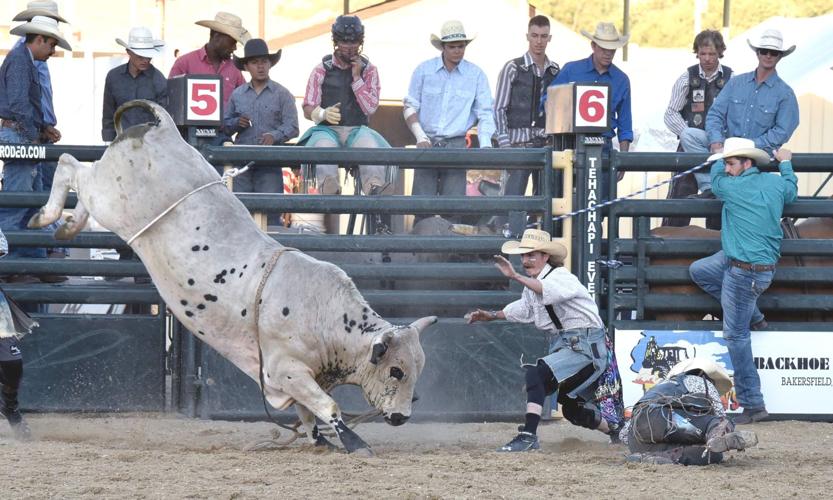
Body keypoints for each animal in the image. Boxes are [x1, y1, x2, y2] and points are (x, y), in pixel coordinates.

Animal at [28, 100, 436, 455]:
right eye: (396, 370)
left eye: (418, 369)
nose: (401, 417)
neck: (330, 319)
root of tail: (165, 128)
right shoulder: (286, 369)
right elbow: (327, 406)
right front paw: (354, 441)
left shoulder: (292, 379)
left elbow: (307, 413)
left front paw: (319, 440)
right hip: (109, 197)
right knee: (69, 165)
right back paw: (45, 216)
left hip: (105, 196)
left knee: (80, 185)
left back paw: (67, 226)